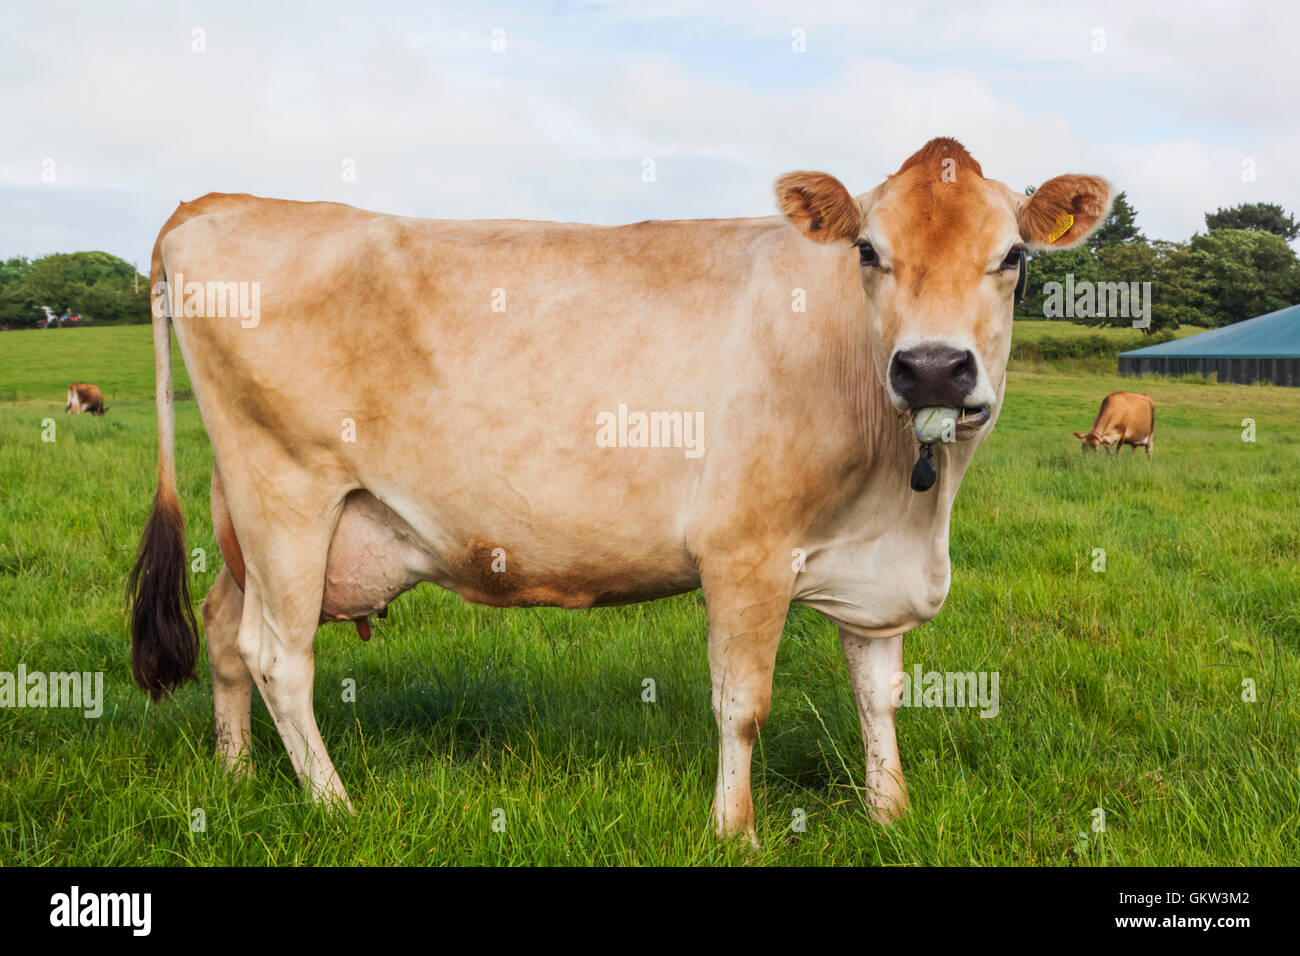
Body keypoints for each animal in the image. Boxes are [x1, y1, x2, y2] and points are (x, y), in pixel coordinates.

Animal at [129, 137, 1110, 842]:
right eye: (869, 250)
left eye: (1014, 257)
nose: (934, 367)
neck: (908, 505)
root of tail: (210, 204)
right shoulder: (745, 552)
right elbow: (742, 705)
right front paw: (735, 833)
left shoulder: (876, 567)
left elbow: (878, 694)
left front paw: (890, 813)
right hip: (286, 491)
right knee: (278, 657)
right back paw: (334, 807)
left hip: (245, 515)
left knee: (223, 632)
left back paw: (235, 777)